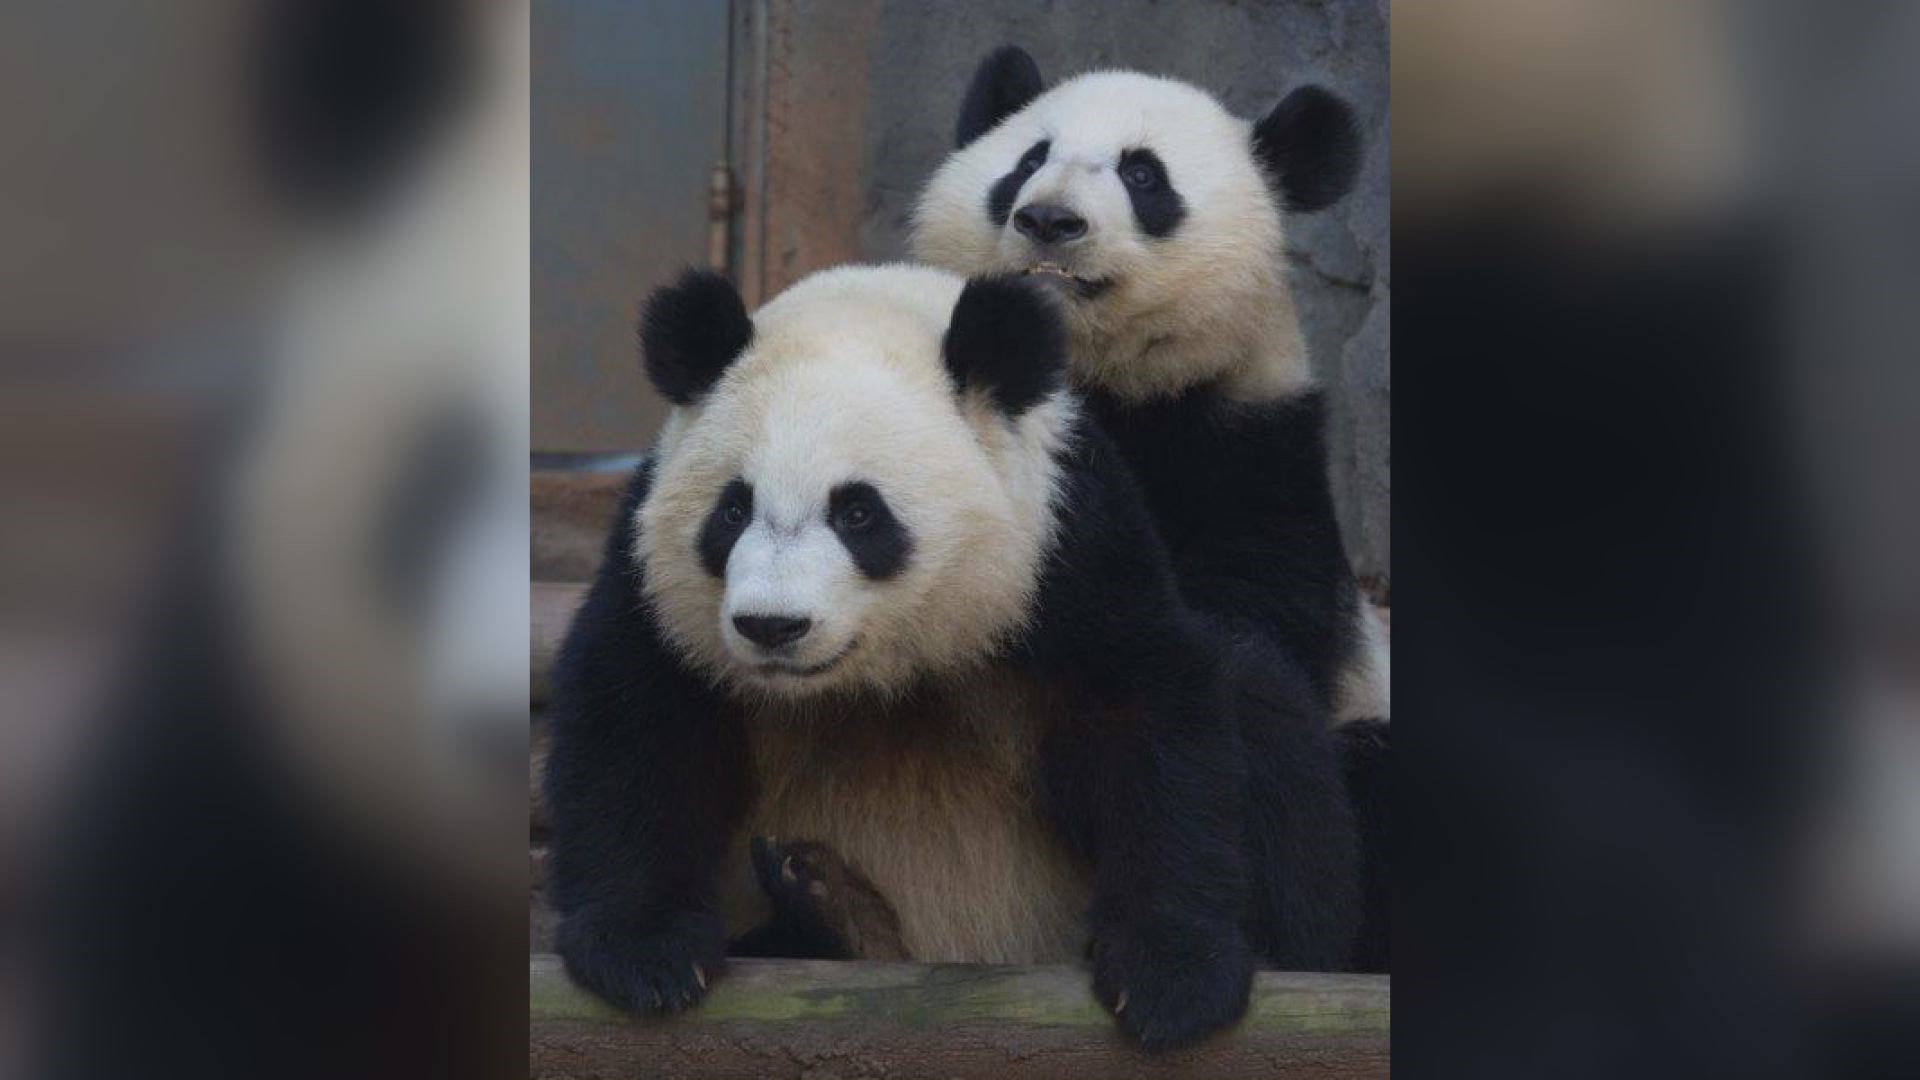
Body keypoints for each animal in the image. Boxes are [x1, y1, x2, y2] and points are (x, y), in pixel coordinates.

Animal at [541, 264, 1359, 1050]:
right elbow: (634, 717)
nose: (772, 626)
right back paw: (830, 913)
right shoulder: (652, 573)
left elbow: (1147, 718)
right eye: (732, 510)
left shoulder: (1066, 547)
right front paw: (647, 954)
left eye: (858, 511)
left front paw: (1171, 978)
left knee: (1265, 719)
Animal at [913, 47, 1391, 971]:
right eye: (1029, 158)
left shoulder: (1250, 451)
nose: (1049, 219)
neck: (1101, 378)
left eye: (1143, 175)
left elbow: (1242, 637)